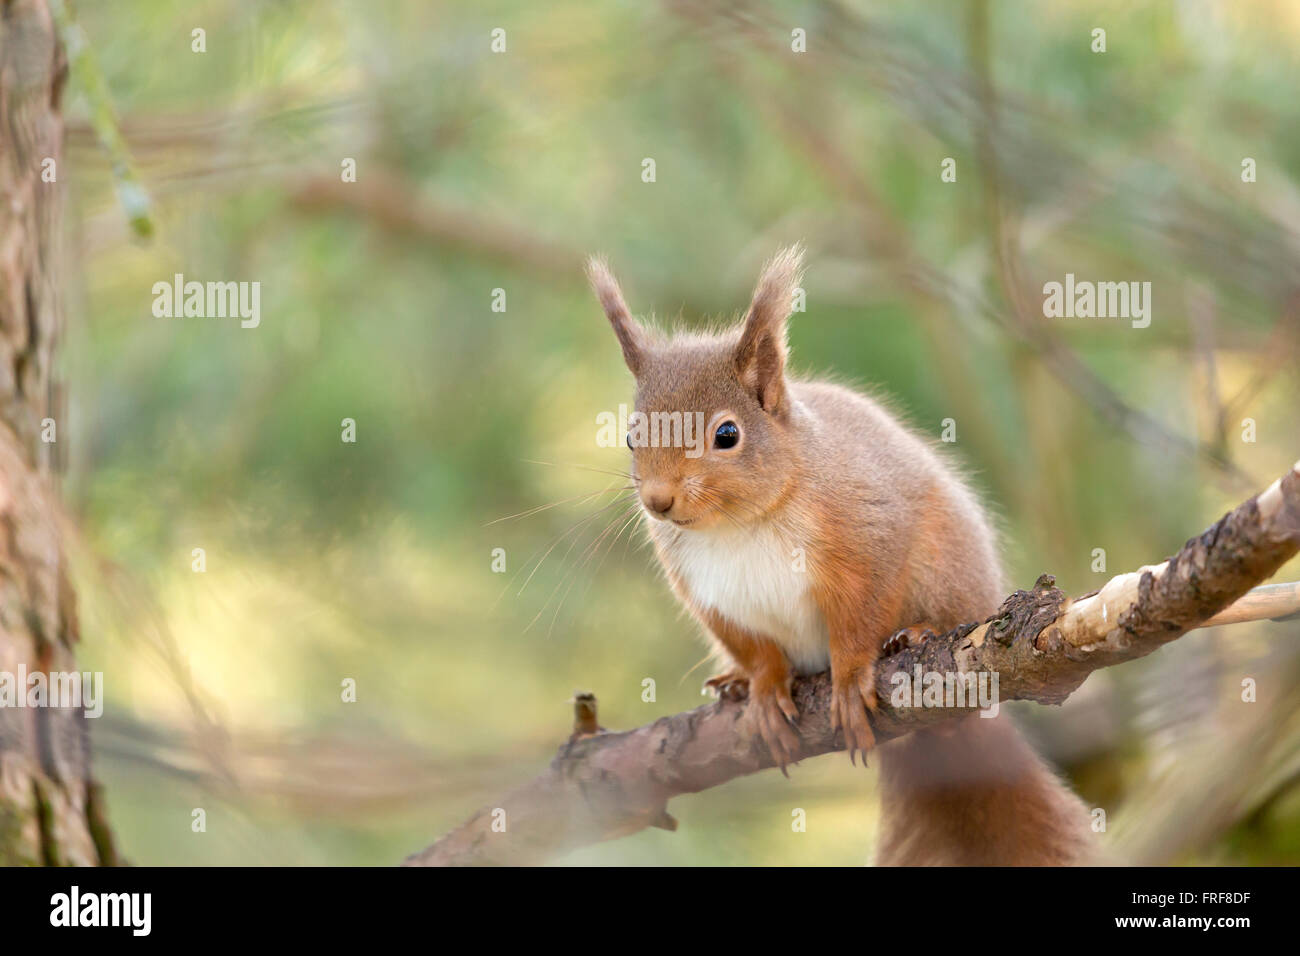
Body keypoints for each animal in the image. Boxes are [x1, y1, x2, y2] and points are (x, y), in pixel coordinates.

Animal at [585, 244, 1094, 865]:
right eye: (631, 436)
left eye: (727, 435)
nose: (658, 501)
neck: (737, 525)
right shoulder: (708, 594)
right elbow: (754, 648)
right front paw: (761, 688)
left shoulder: (865, 538)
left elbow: (859, 617)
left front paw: (851, 680)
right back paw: (734, 683)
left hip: (947, 569)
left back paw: (919, 634)